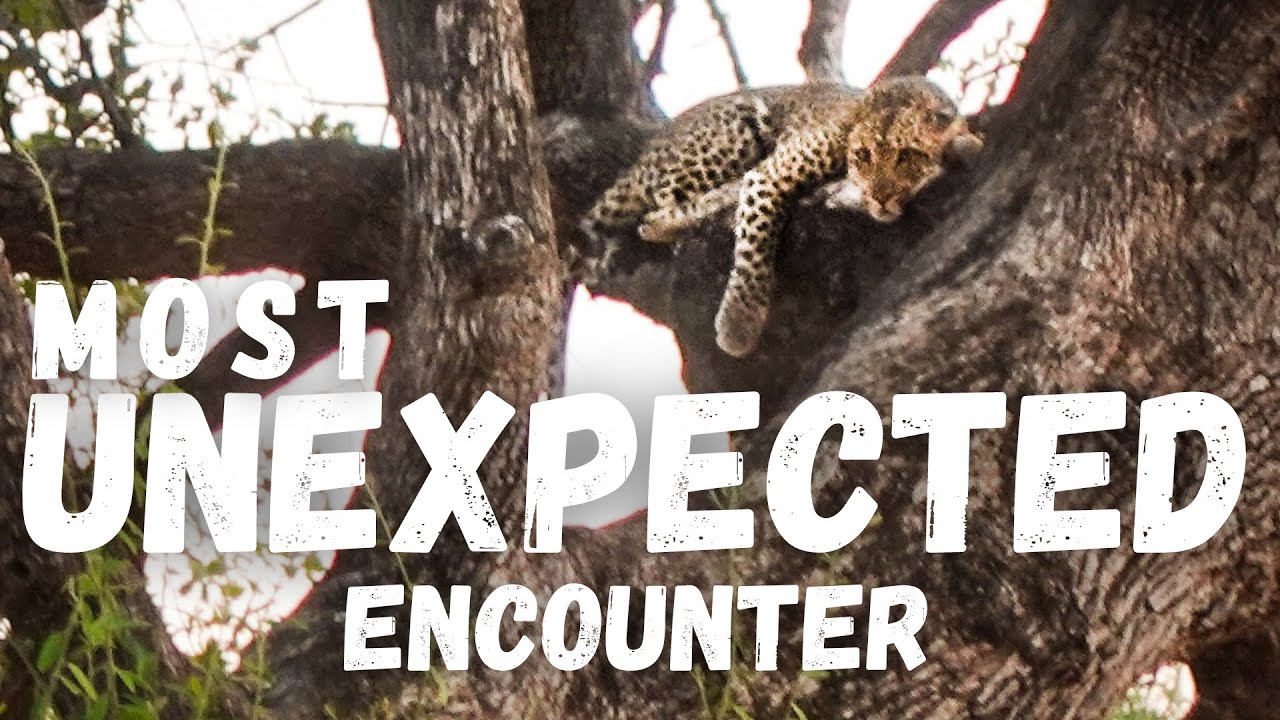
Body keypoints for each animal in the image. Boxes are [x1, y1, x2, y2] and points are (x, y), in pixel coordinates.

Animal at [582, 76, 982, 358]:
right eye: (864, 155)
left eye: (907, 156)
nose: (879, 196)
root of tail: (646, 154)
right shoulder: (771, 174)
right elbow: (756, 241)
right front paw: (739, 324)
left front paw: (965, 144)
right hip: (733, 131)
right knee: (660, 209)